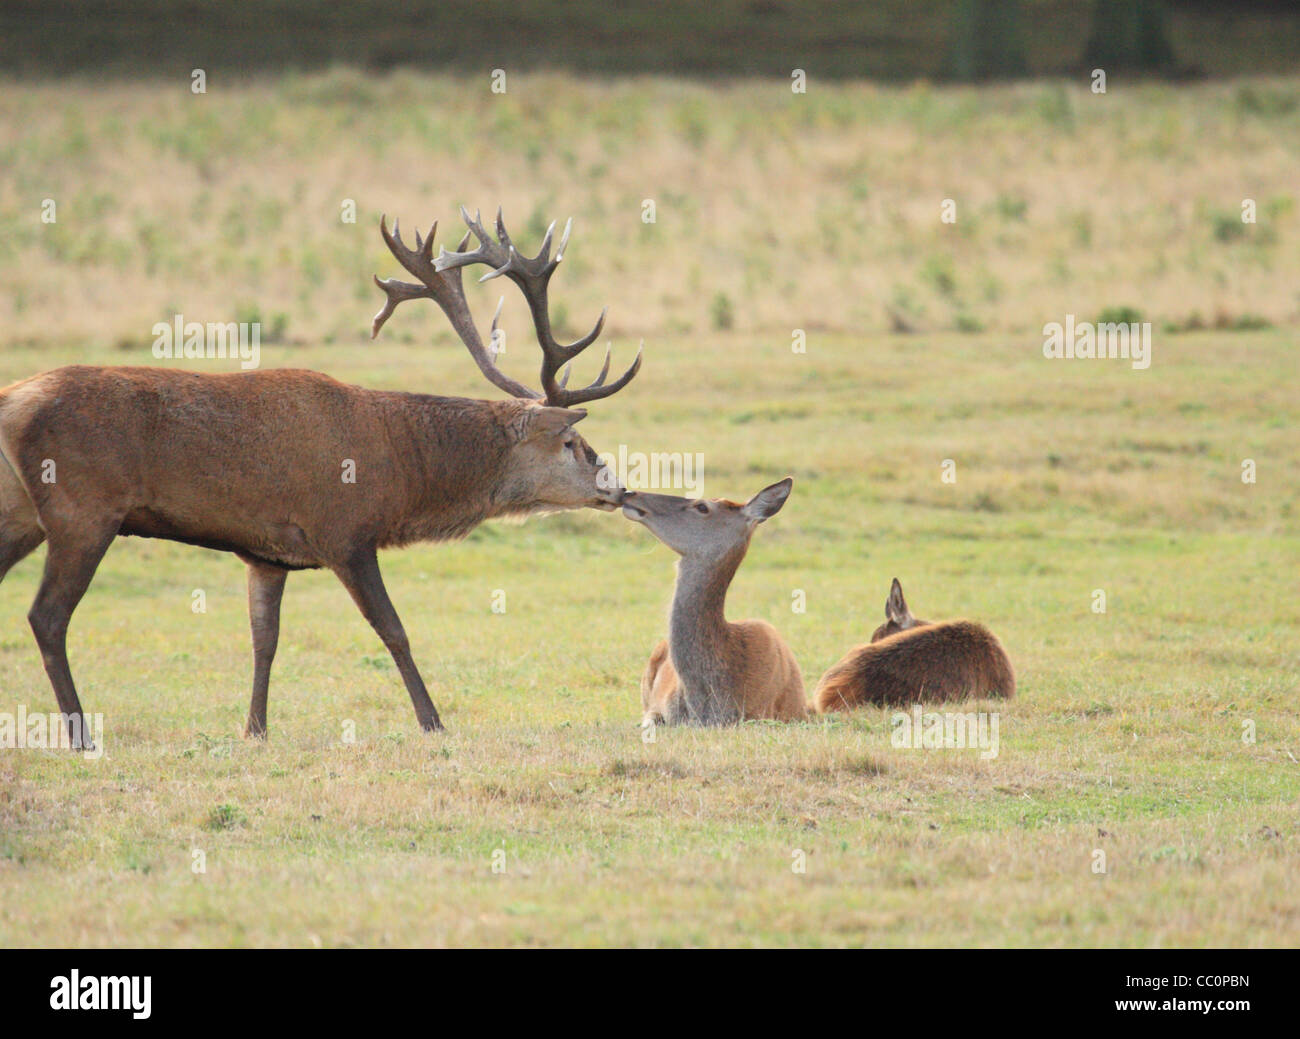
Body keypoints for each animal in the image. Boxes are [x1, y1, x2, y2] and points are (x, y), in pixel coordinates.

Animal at [0, 206, 641, 747]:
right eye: (570, 442)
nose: (617, 486)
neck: (400, 468)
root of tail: (12, 402)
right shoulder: (345, 532)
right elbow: (393, 629)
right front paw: (432, 722)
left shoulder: (267, 554)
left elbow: (264, 640)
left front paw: (254, 729)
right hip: (82, 511)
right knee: (47, 616)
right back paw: (80, 735)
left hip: (22, 513)